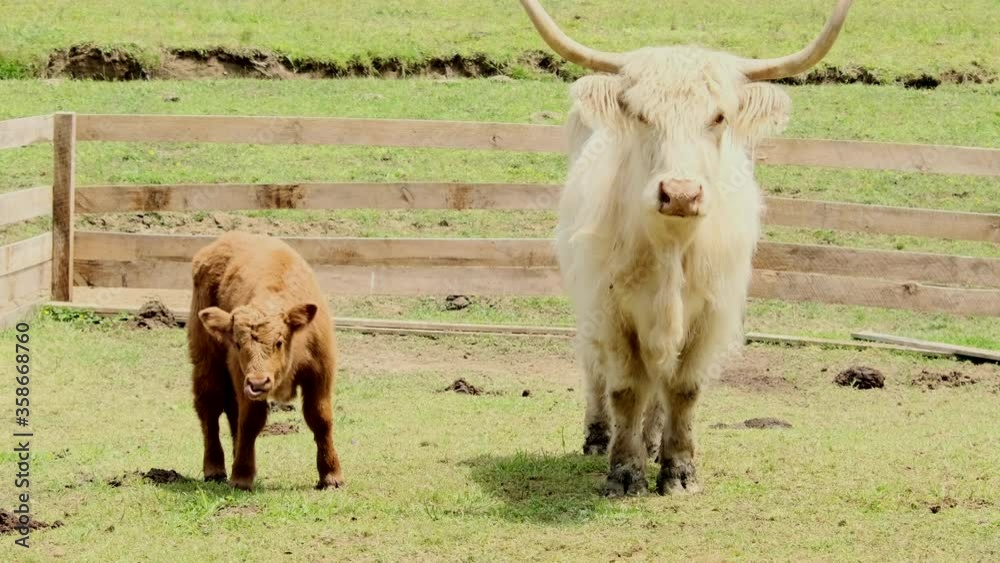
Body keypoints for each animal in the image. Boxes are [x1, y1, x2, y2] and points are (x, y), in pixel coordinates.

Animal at [187, 232, 344, 491]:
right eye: (238, 344)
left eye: (279, 341)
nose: (259, 383)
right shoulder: (243, 378)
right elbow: (251, 421)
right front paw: (241, 476)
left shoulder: (320, 374)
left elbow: (320, 419)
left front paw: (331, 475)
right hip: (207, 362)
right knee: (210, 408)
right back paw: (215, 468)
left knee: (231, 412)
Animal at [518, 0, 853, 496]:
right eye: (639, 114)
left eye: (718, 117)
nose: (679, 193)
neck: (670, 250)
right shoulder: (611, 309)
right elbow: (625, 388)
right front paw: (625, 472)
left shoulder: (710, 316)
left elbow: (683, 388)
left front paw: (677, 469)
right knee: (595, 368)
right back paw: (598, 437)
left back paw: (653, 442)